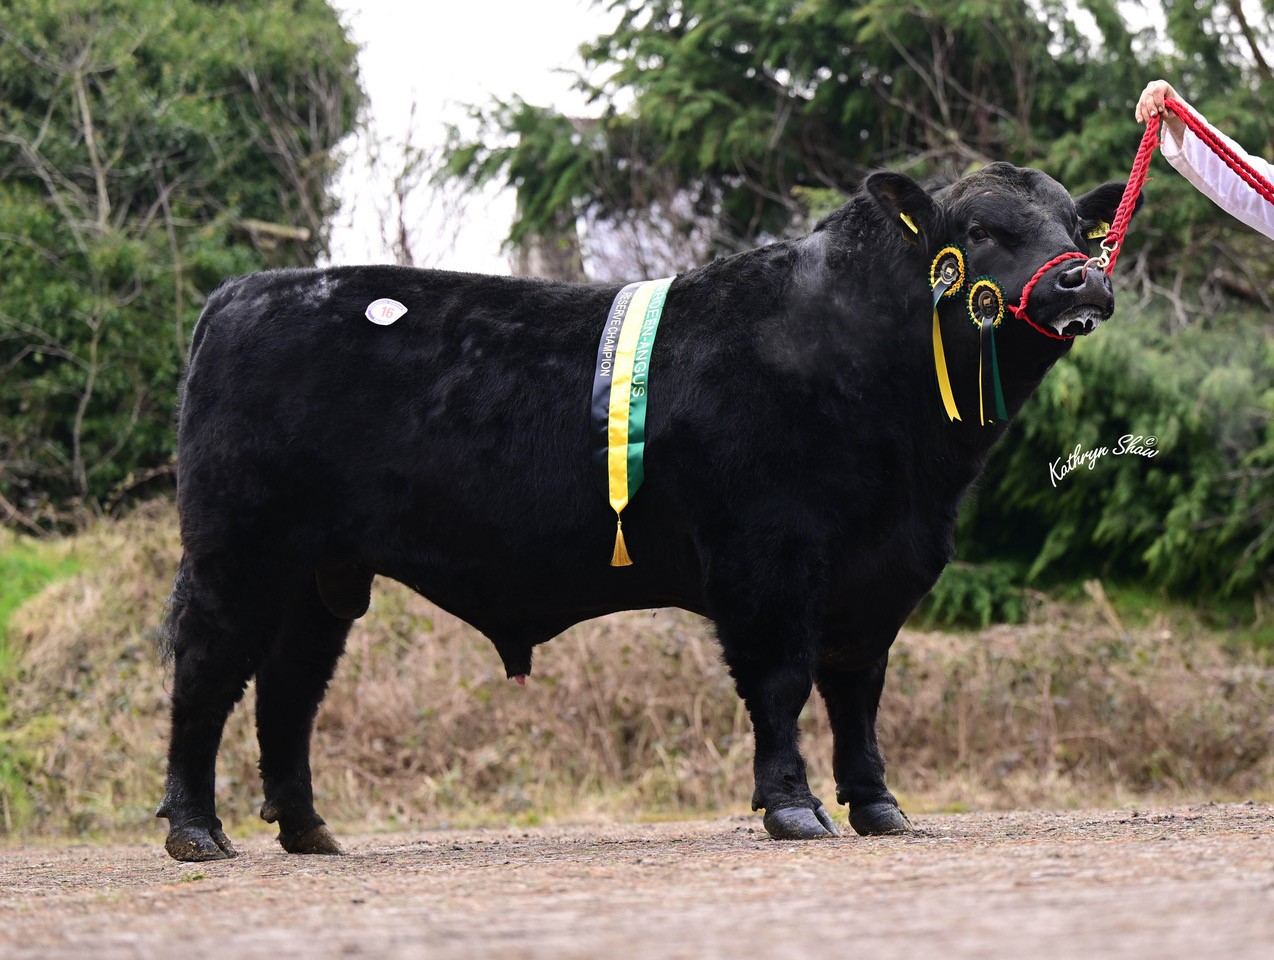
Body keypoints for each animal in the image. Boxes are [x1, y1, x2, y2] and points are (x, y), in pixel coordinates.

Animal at [156, 161, 1132, 861]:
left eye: (1076, 226)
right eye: (981, 231)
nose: (1083, 280)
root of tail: (243, 291)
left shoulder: (880, 573)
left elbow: (857, 693)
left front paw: (879, 806)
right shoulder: (768, 559)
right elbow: (782, 682)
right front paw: (794, 807)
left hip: (323, 573)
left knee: (289, 687)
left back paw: (307, 829)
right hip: (237, 551)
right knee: (208, 671)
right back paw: (195, 830)